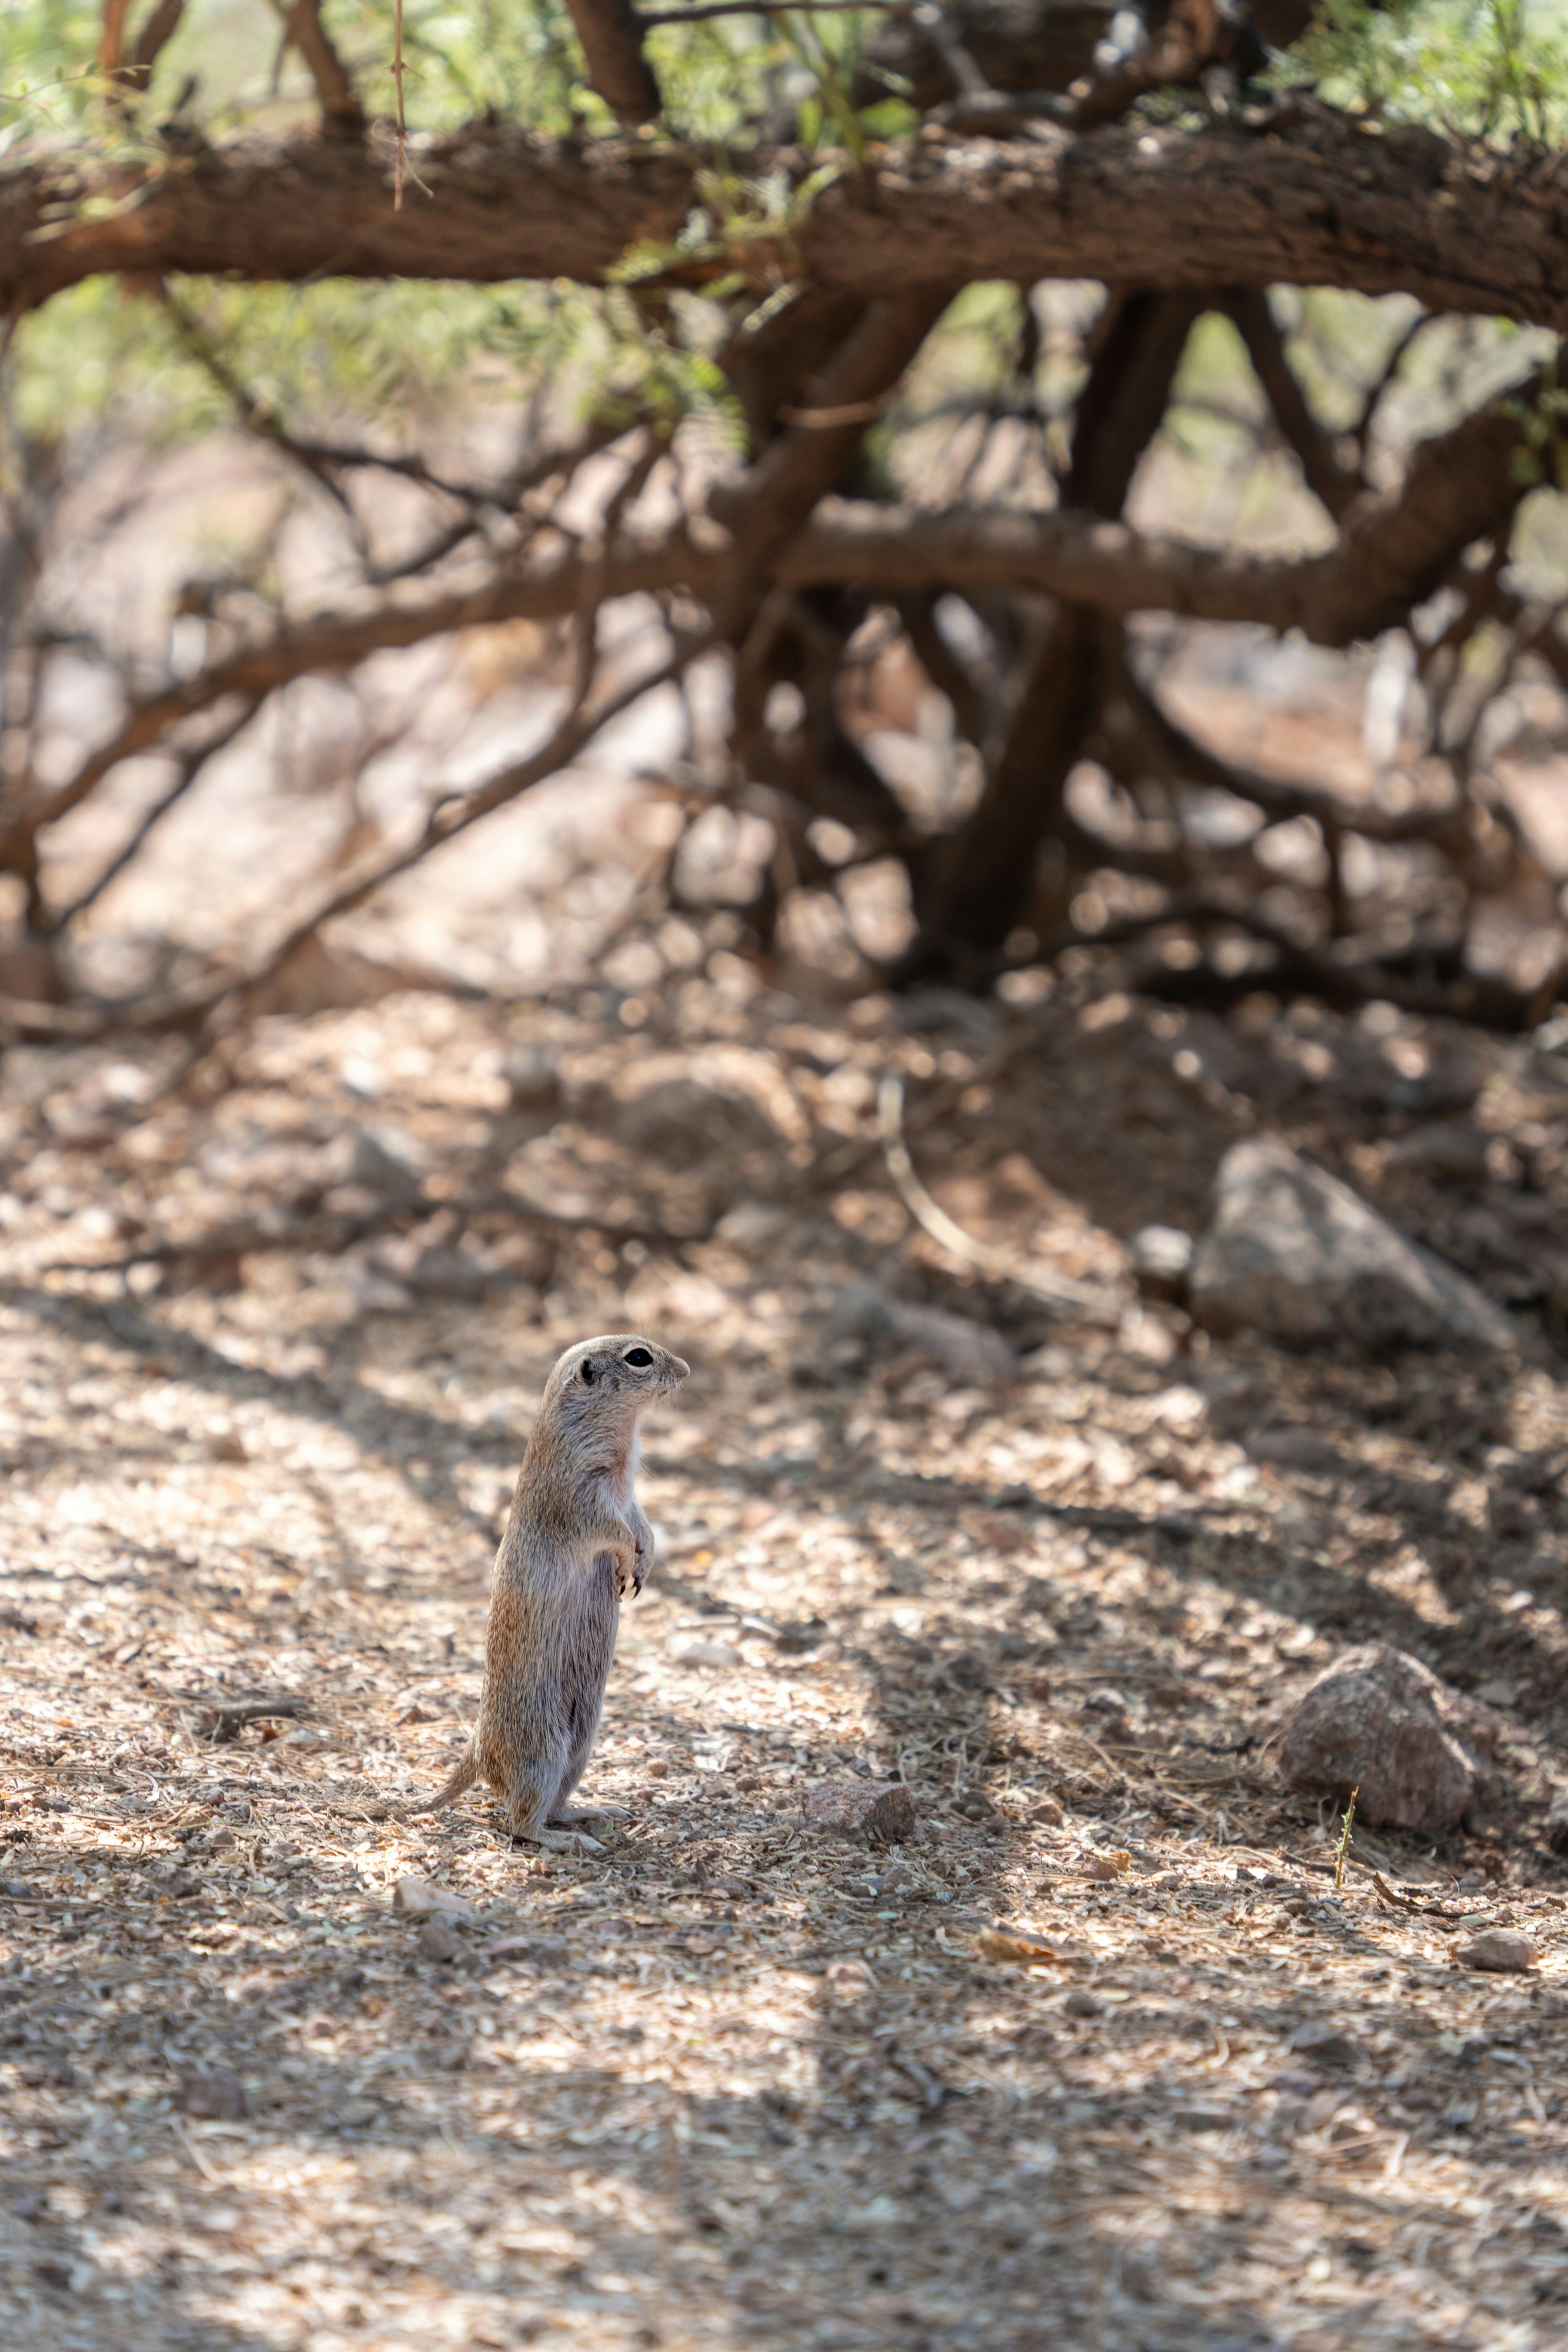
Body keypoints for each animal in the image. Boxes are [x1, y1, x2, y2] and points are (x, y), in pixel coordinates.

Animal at [405, 1333, 689, 1852]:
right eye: (638, 1357)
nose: (685, 1369)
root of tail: (478, 1751)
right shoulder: (582, 1497)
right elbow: (615, 1532)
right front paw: (626, 1563)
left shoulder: (628, 1495)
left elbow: (641, 1523)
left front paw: (644, 1564)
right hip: (543, 1750)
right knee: (520, 1822)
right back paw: (571, 1842)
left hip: (580, 1745)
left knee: (554, 1806)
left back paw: (592, 1811)